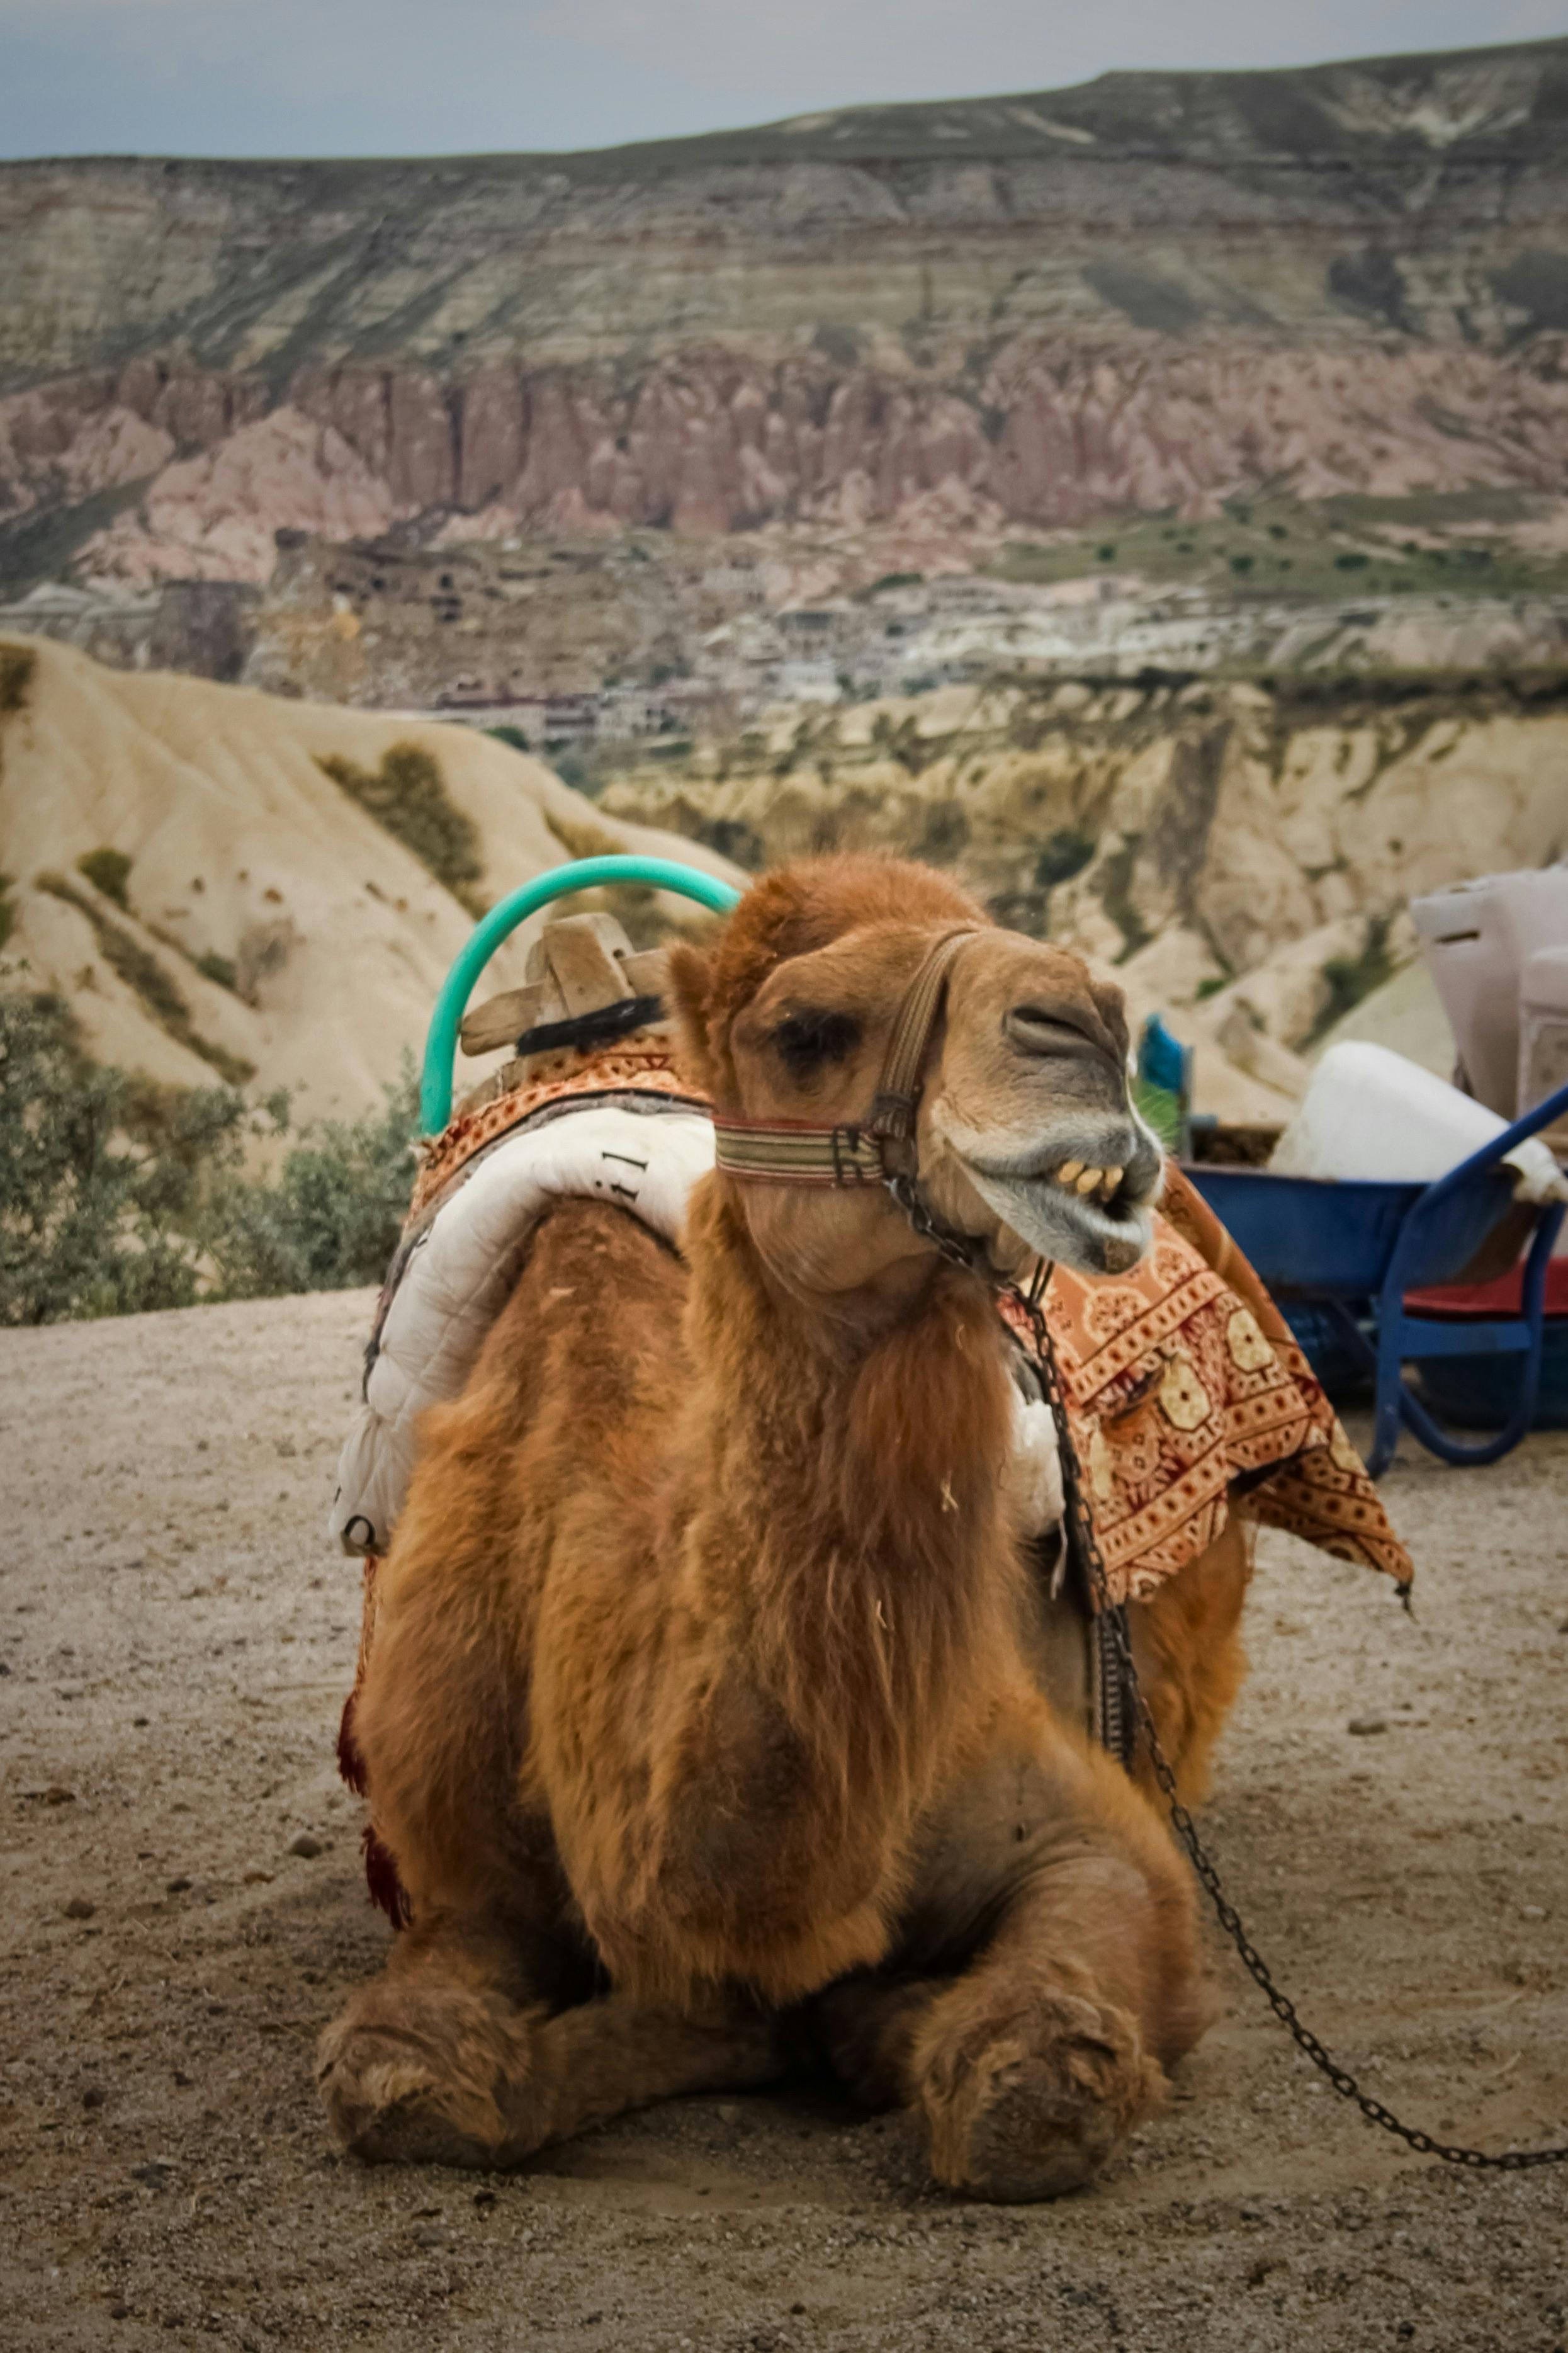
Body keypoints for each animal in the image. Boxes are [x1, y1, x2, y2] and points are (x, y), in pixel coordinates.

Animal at [318, 854, 1255, 2200]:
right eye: (804, 1030)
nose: (1087, 1025)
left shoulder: (1096, 1838)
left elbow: (1029, 2081)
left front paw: (865, 2022)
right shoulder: (465, 1877)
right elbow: (404, 2081)